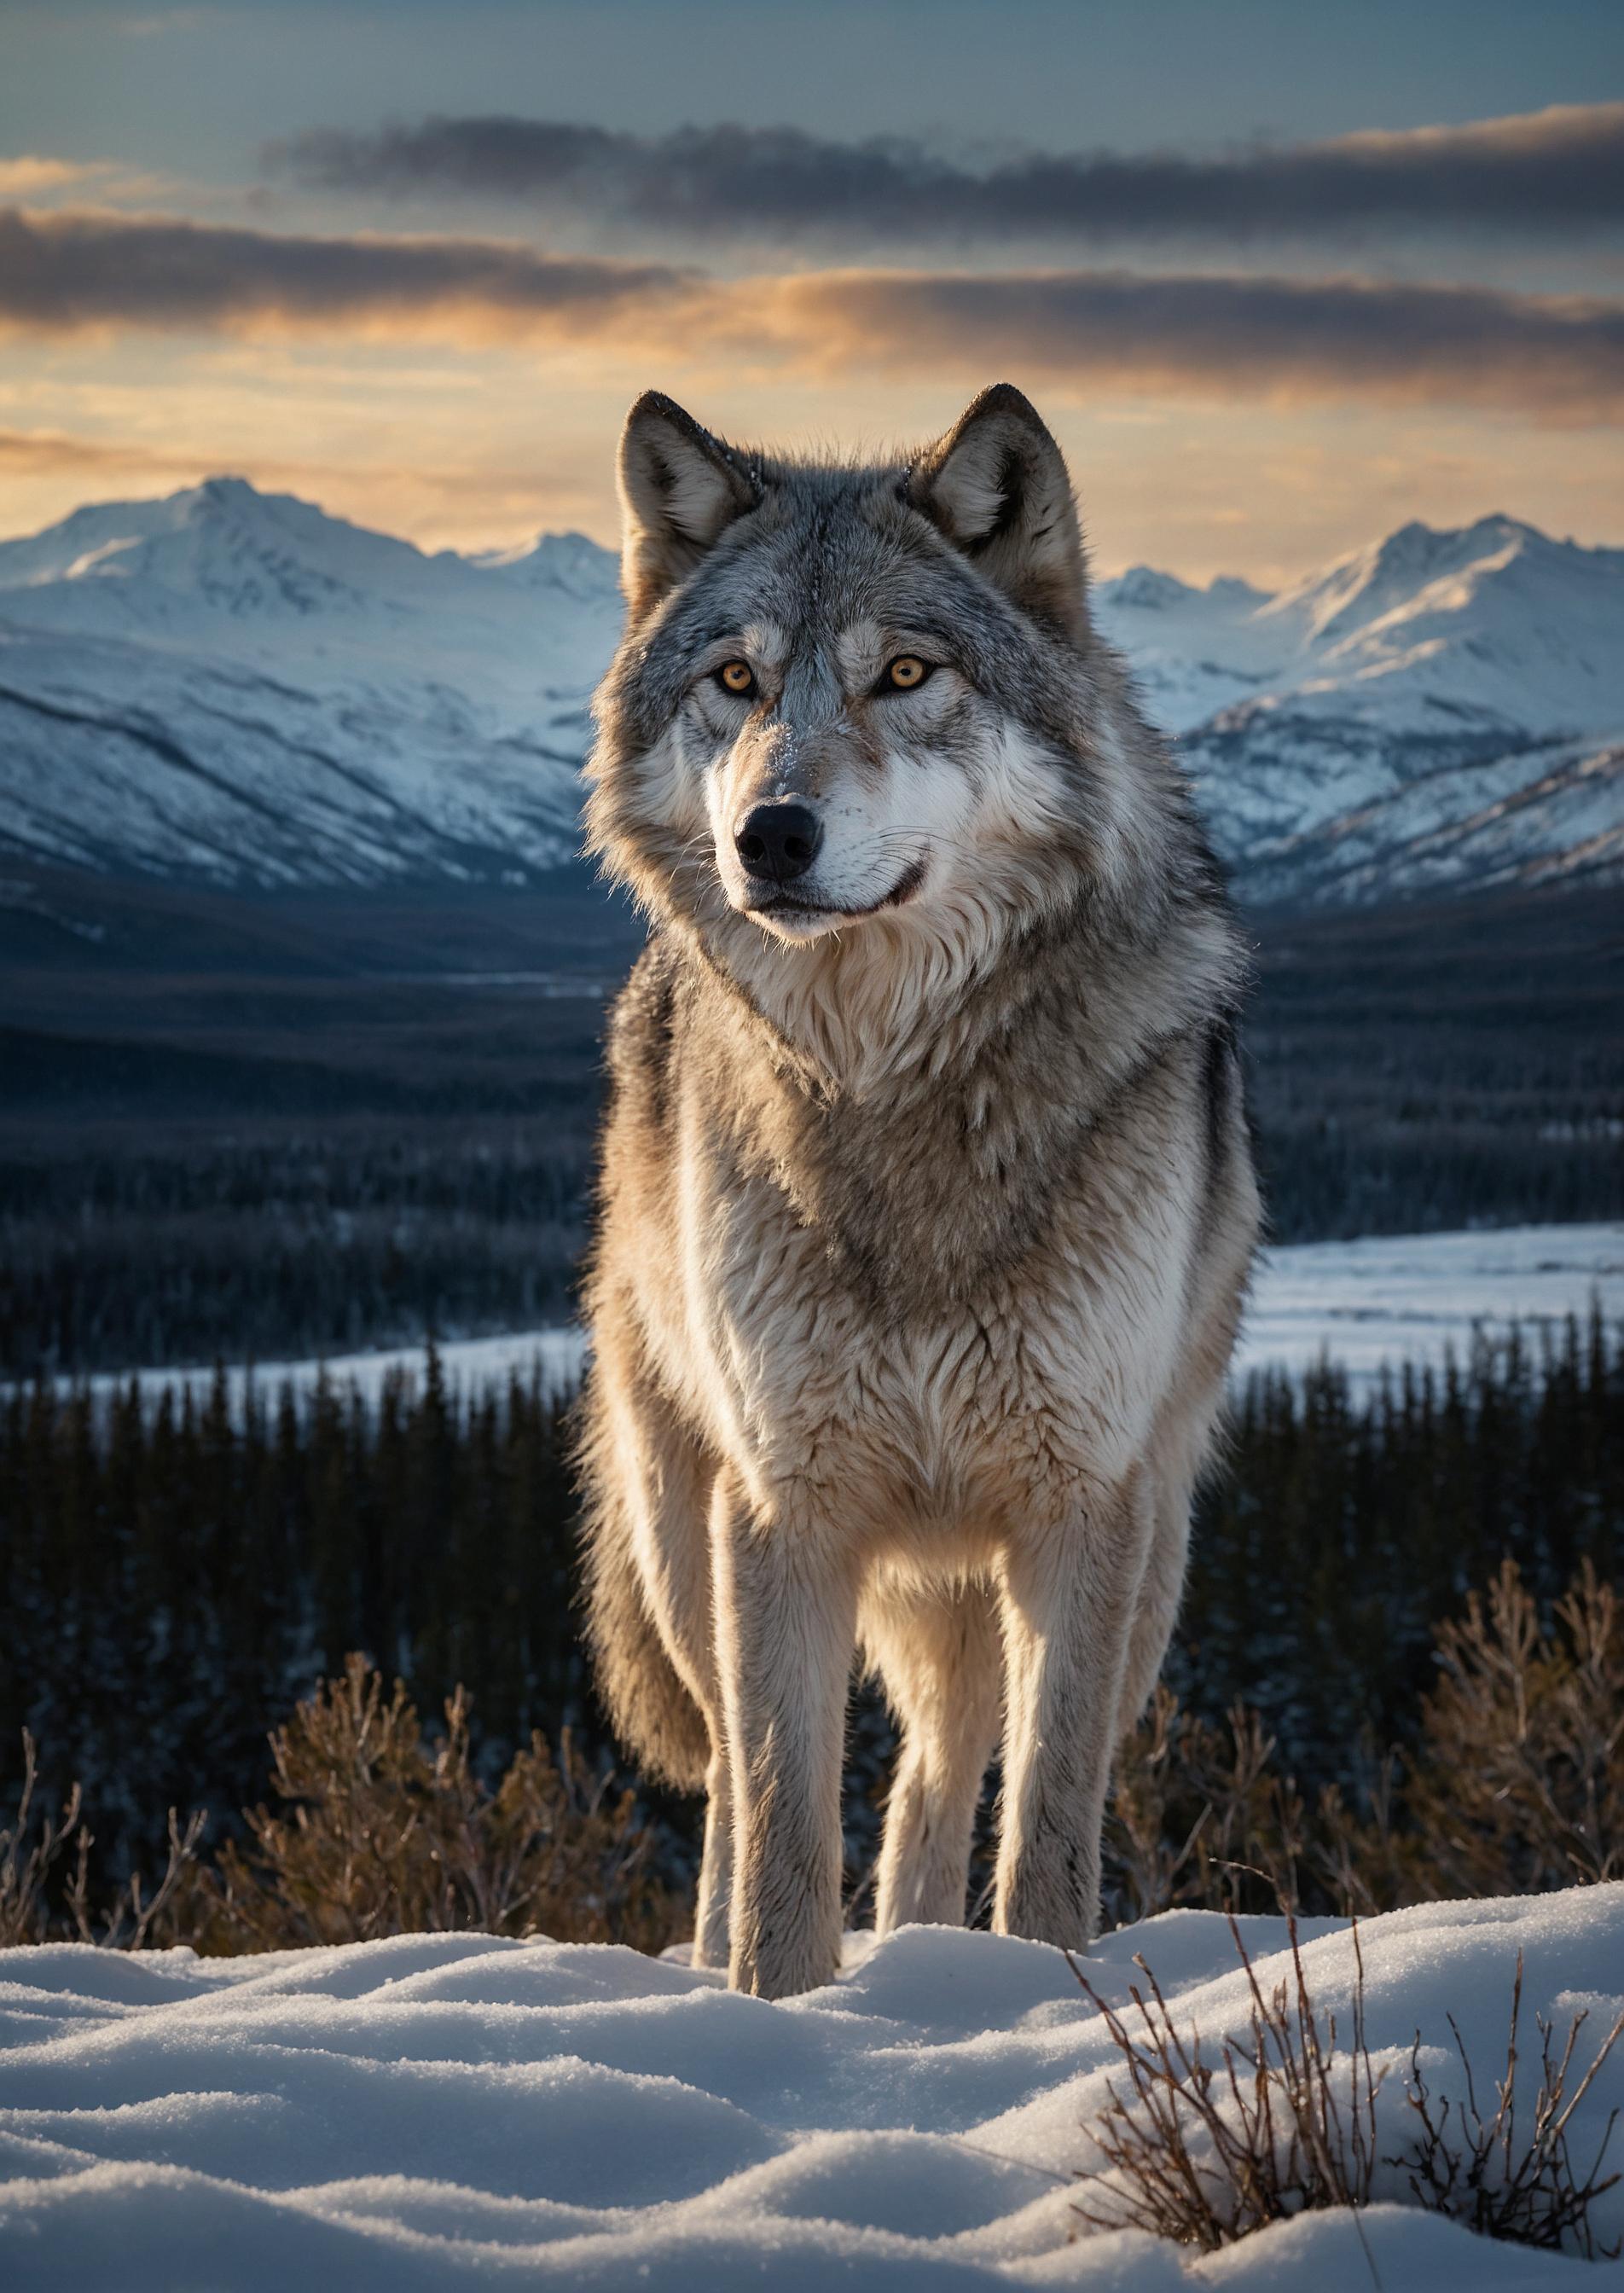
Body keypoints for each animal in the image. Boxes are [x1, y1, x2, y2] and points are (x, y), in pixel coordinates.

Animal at [579, 383, 1259, 1998]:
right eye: (737, 679)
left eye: (904, 673)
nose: (770, 835)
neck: (895, 1087)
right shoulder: (785, 1509)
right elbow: (779, 1827)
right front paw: (770, 2011)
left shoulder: (1079, 1509)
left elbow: (1052, 1828)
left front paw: (1051, 2003)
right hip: (685, 1540)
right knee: (733, 1784)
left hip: (1126, 1572)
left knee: (939, 1782)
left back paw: (931, 1969)